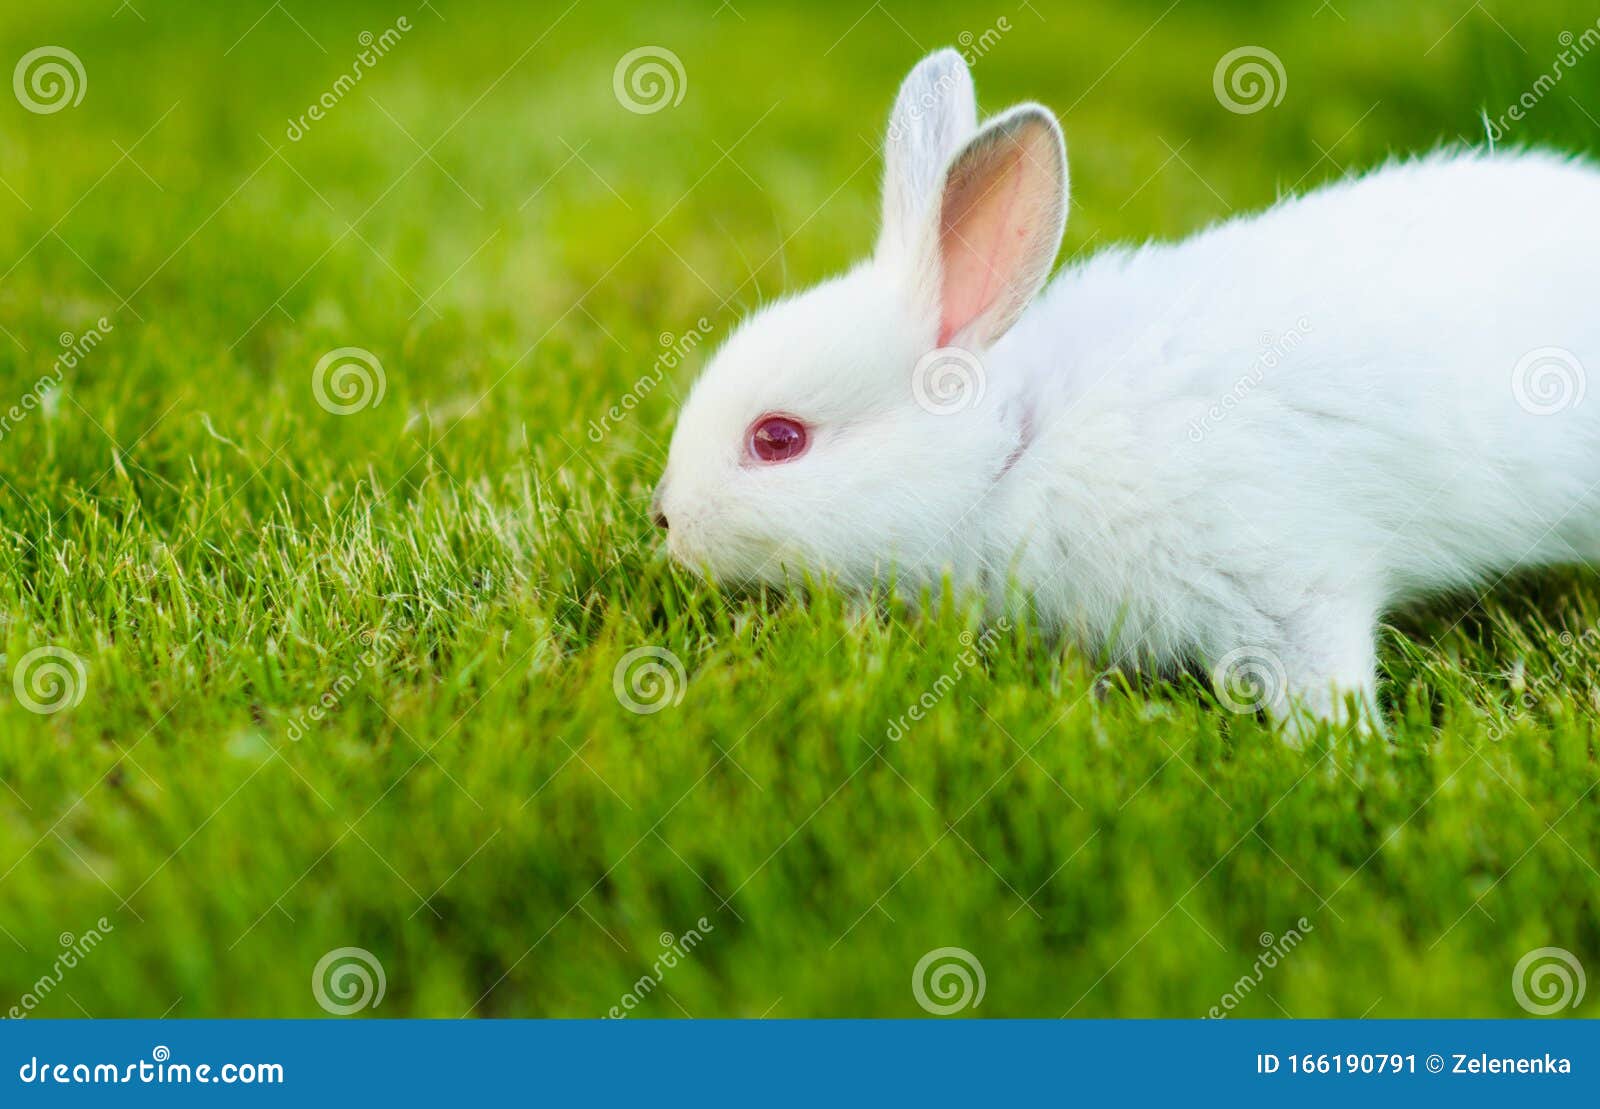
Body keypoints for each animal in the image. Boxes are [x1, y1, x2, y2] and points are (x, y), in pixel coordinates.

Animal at [651, 47, 1600, 729]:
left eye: (778, 439)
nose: (663, 520)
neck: (1021, 448)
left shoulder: (1289, 585)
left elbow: (1318, 673)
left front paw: (1337, 757)